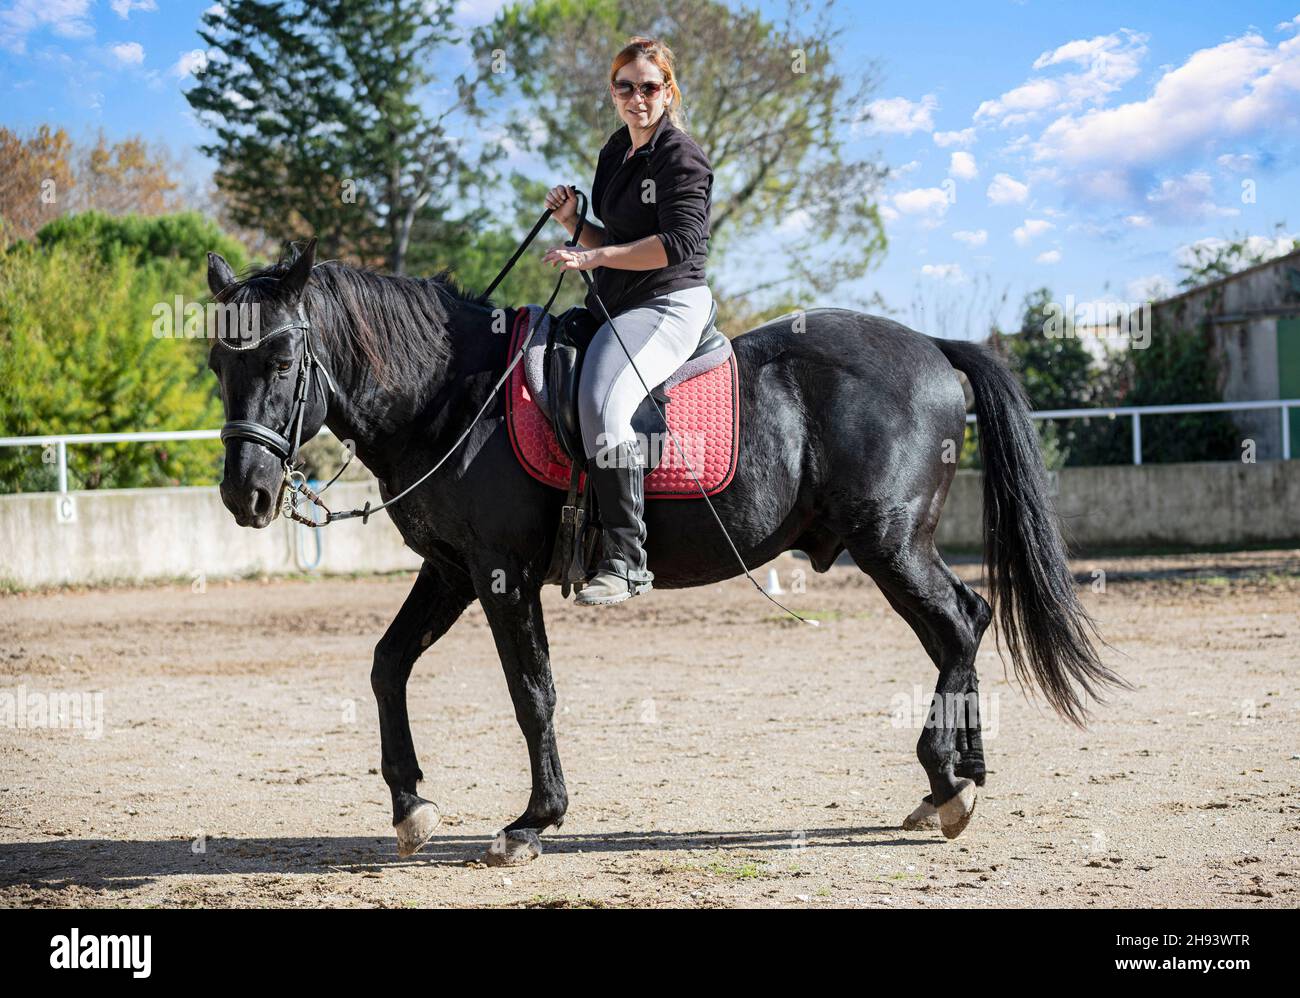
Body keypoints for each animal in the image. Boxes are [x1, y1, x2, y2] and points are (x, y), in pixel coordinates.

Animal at [205, 238, 1121, 864]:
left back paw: (946, 781)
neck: (455, 396)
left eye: (282, 357)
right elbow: (387, 664)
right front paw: (411, 807)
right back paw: (959, 780)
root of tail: (933, 348)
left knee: (961, 625)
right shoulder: (451, 570)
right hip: (895, 548)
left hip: (890, 543)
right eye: (218, 361)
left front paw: (534, 821)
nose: (244, 496)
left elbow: (531, 693)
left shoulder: (502, 574)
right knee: (961, 627)